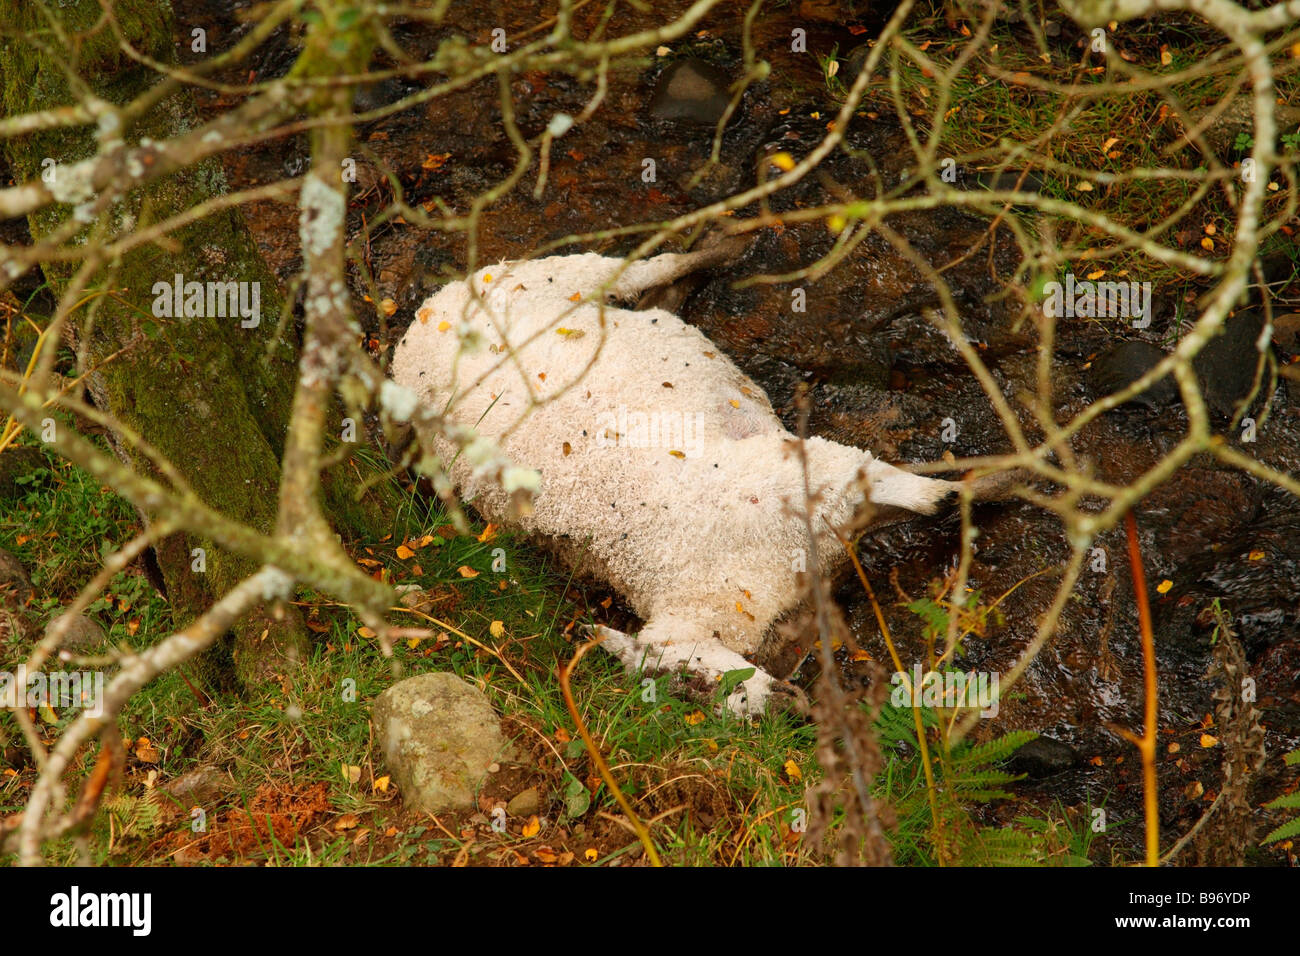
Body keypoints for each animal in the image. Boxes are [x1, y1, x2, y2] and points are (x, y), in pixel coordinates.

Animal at [391, 245, 1016, 716]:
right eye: (693, 688)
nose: (789, 706)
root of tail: (427, 314)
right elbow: (928, 498)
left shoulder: (801, 478)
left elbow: (928, 496)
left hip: (547, 279)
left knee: (637, 264)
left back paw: (712, 249)